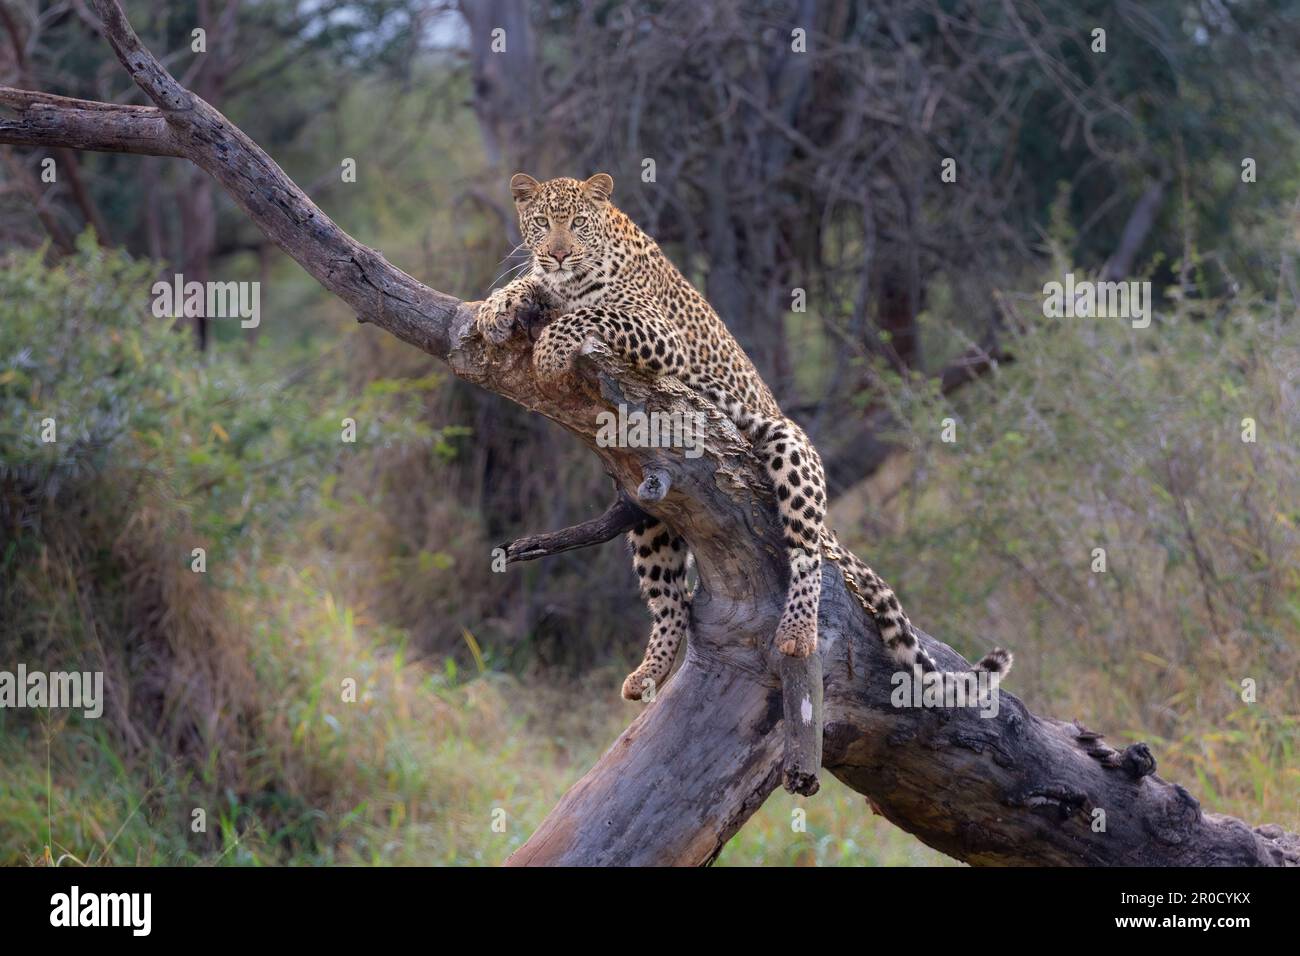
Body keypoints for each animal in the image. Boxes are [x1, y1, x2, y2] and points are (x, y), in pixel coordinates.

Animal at [477, 172, 1012, 701]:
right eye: (543, 223)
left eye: (577, 224)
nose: (558, 253)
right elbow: (526, 283)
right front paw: (493, 308)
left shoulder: (658, 333)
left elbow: (588, 314)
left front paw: (548, 350)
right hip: (650, 502)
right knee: (670, 597)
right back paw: (649, 672)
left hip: (787, 444)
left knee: (807, 553)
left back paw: (797, 631)